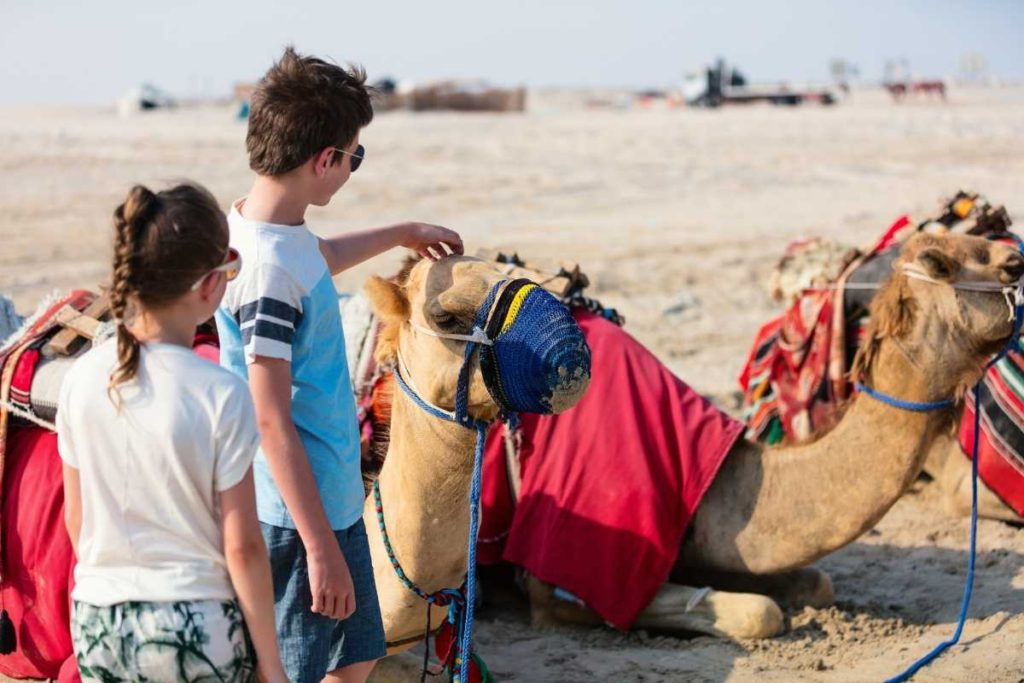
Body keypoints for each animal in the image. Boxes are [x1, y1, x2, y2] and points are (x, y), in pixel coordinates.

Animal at [362, 232, 1024, 655]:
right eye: (950, 260)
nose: (1017, 259)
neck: (709, 473)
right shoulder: (571, 575)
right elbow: (759, 611)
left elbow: (816, 582)